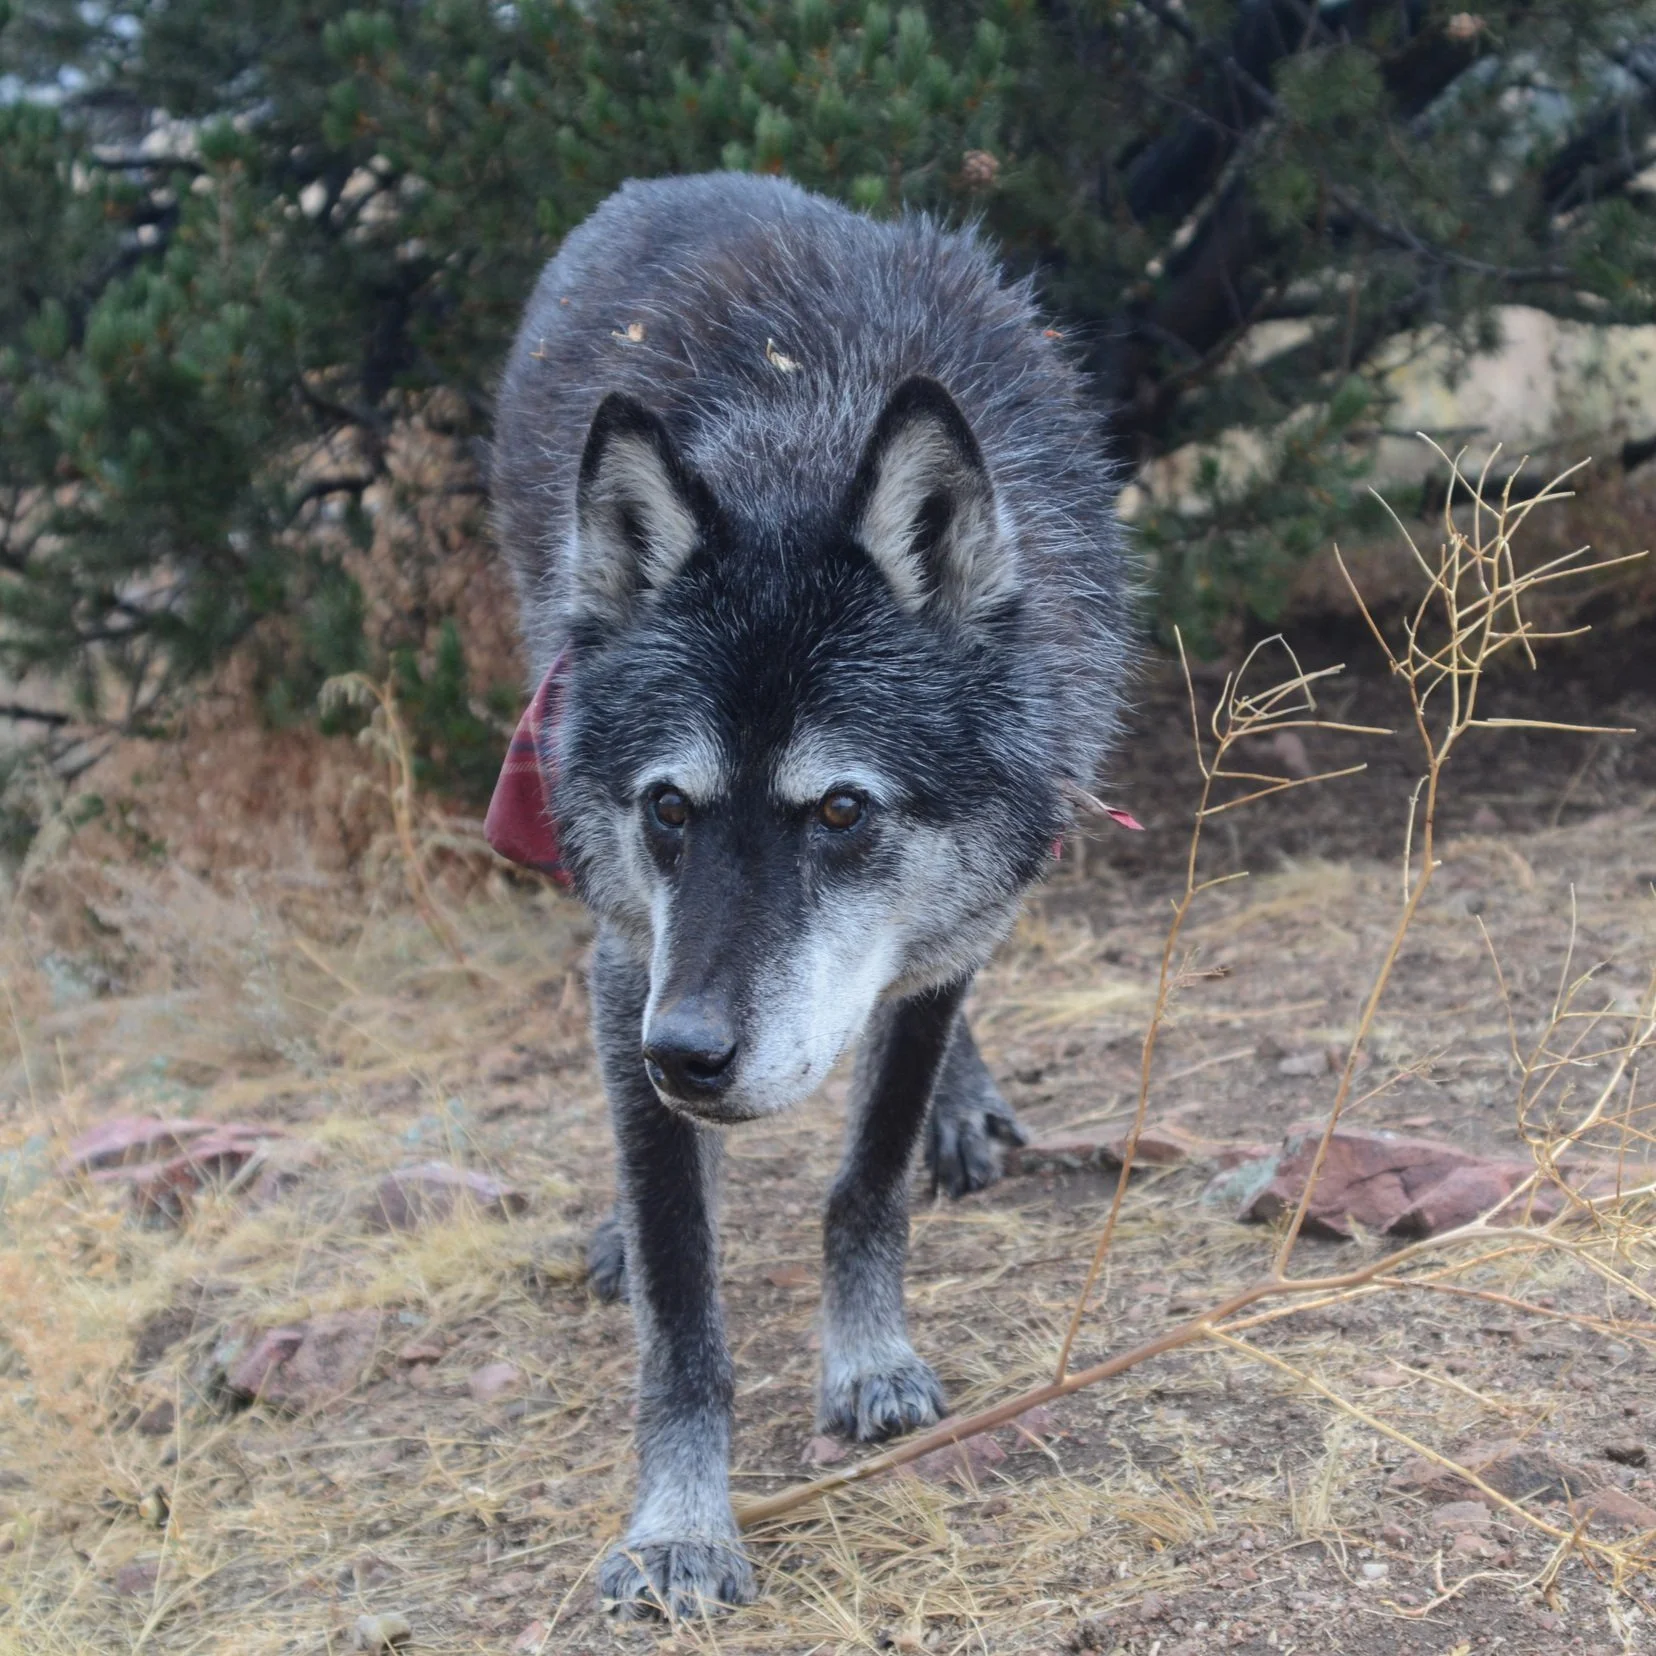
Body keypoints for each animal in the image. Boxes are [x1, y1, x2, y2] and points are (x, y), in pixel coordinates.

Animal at [489, 171, 1131, 1618]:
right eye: (671, 809)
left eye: (841, 810)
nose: (686, 1055)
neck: (798, 441)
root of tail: (676, 181)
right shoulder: (634, 961)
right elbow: (683, 1307)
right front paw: (677, 1526)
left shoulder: (946, 936)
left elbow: (864, 1180)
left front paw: (867, 1361)